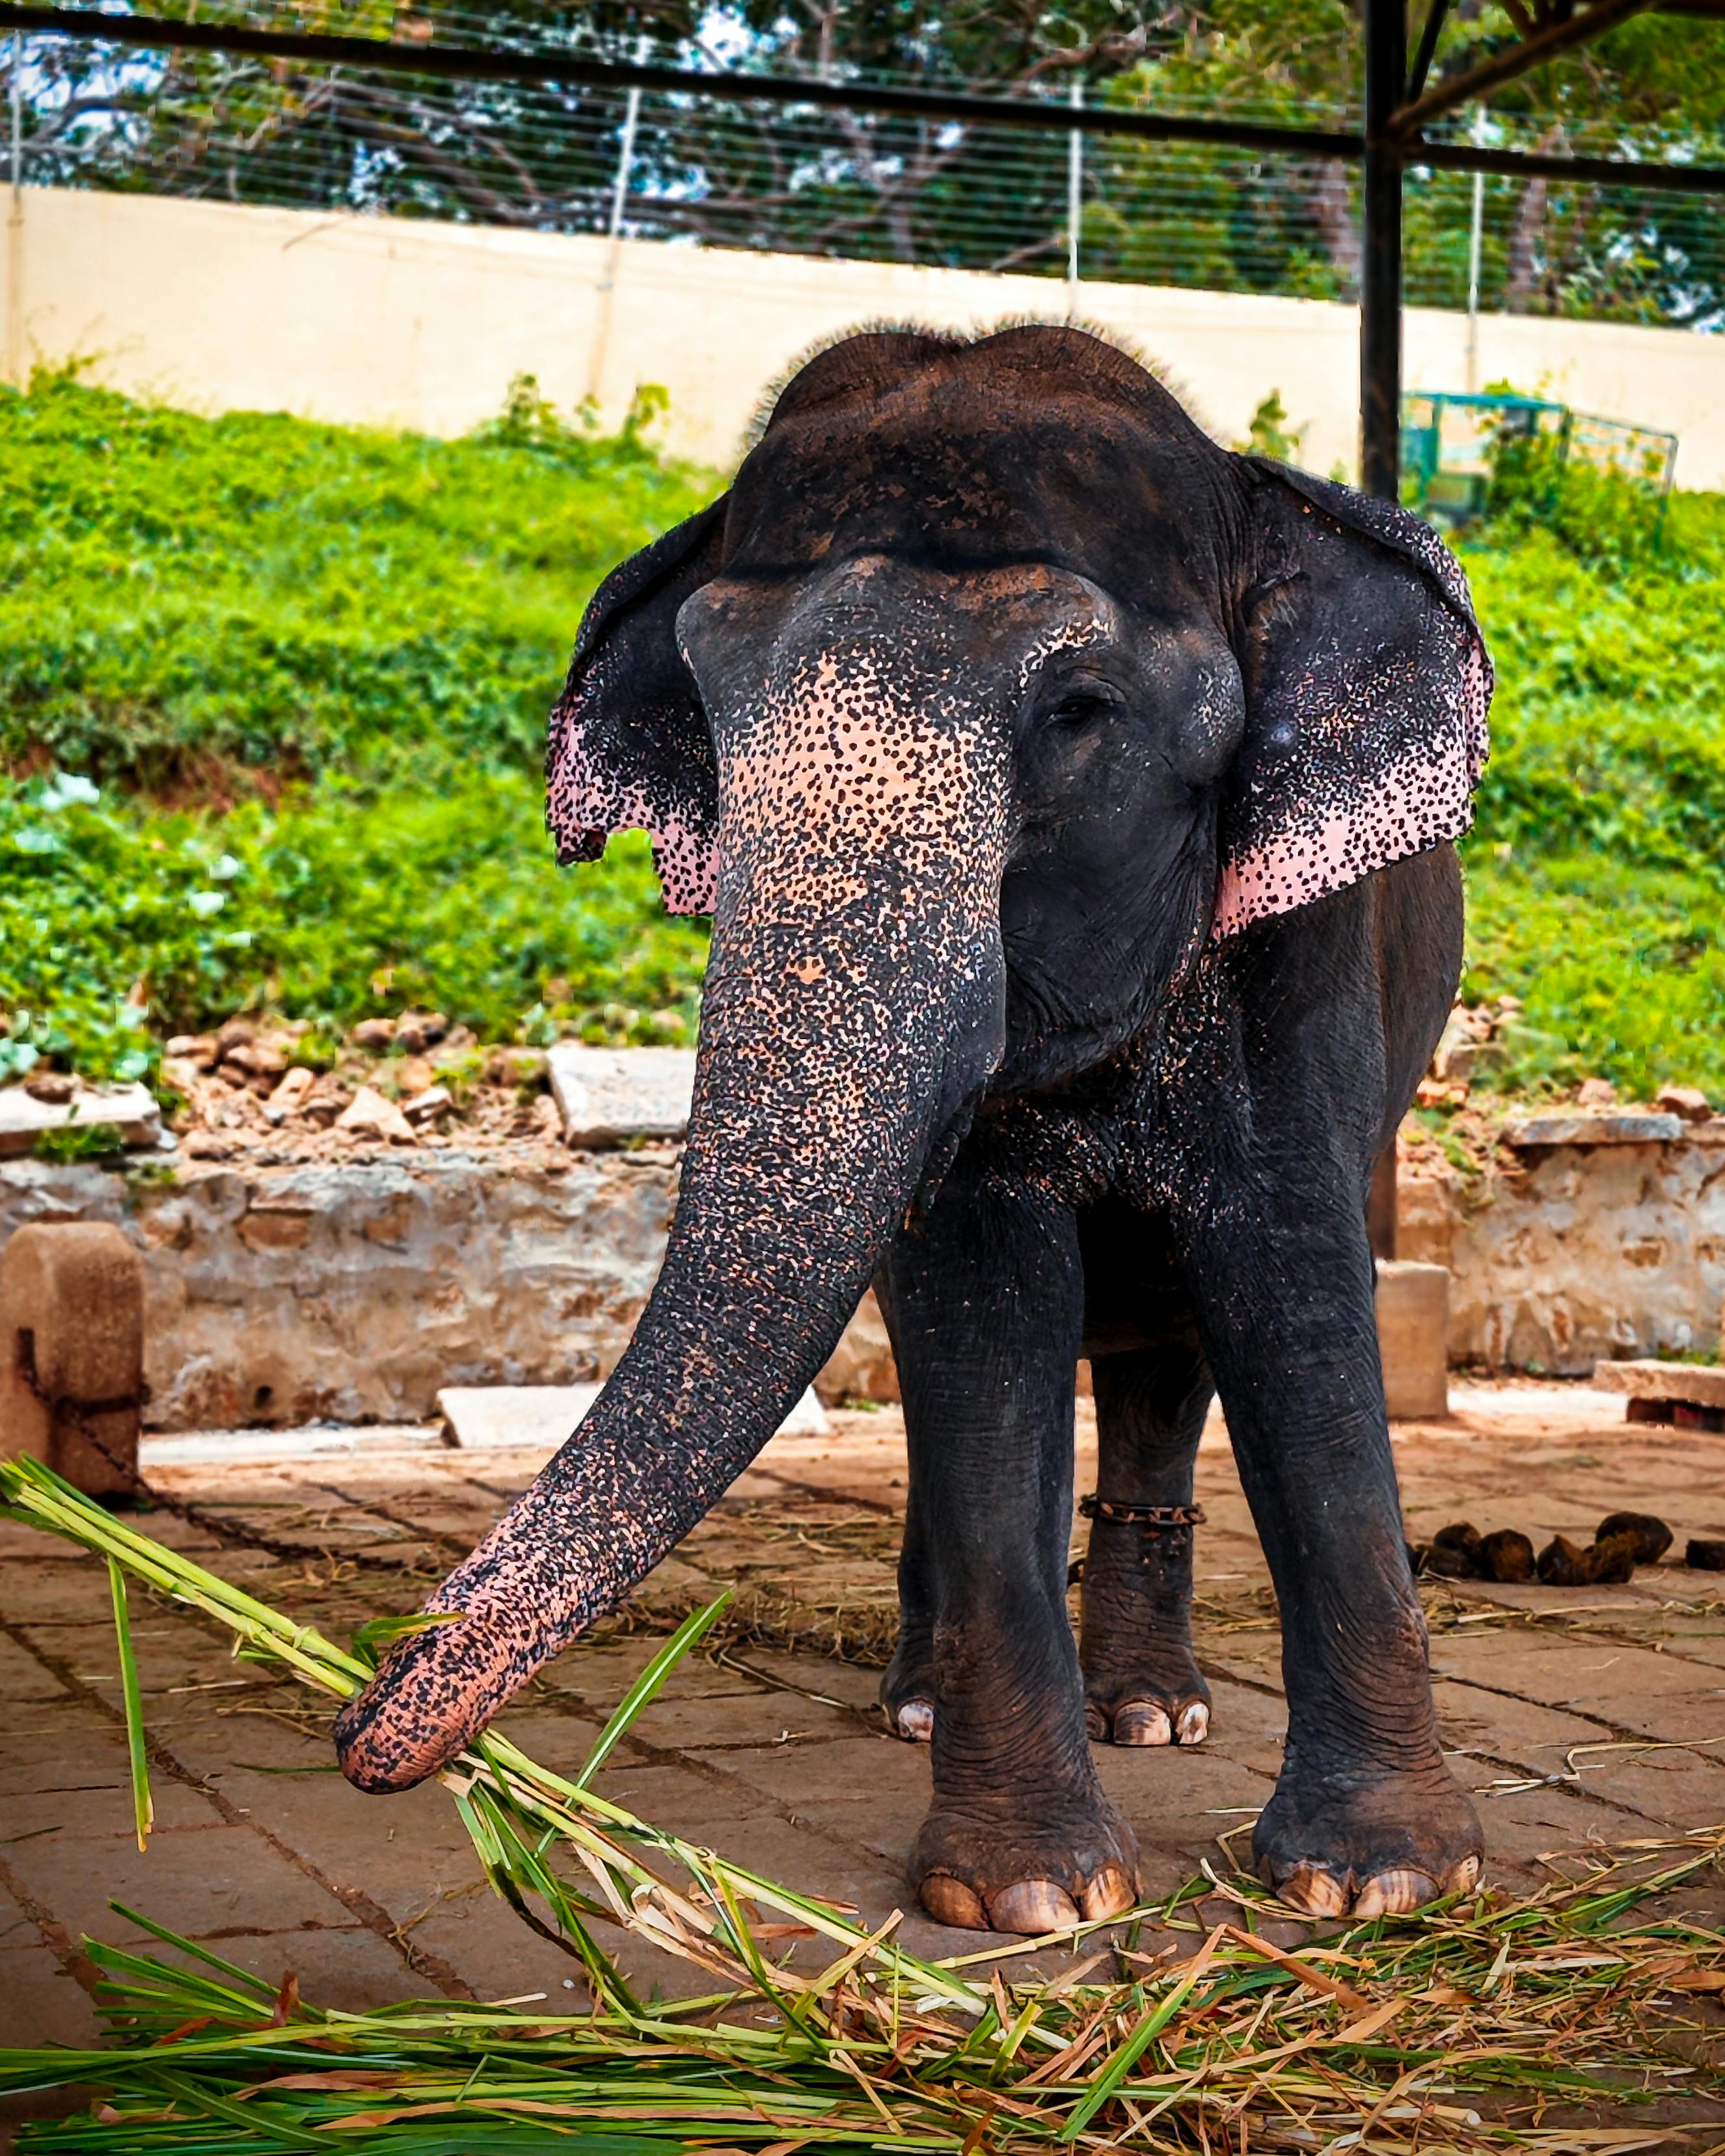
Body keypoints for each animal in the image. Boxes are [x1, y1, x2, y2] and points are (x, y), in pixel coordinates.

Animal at [335, 323, 1493, 1935]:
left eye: (1077, 711)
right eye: (709, 710)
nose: (364, 1720)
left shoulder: (1304, 949)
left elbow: (1290, 1286)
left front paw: (1379, 1881)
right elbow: (978, 1304)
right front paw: (1027, 1898)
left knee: (1167, 1350)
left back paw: (1153, 1710)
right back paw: (925, 1702)